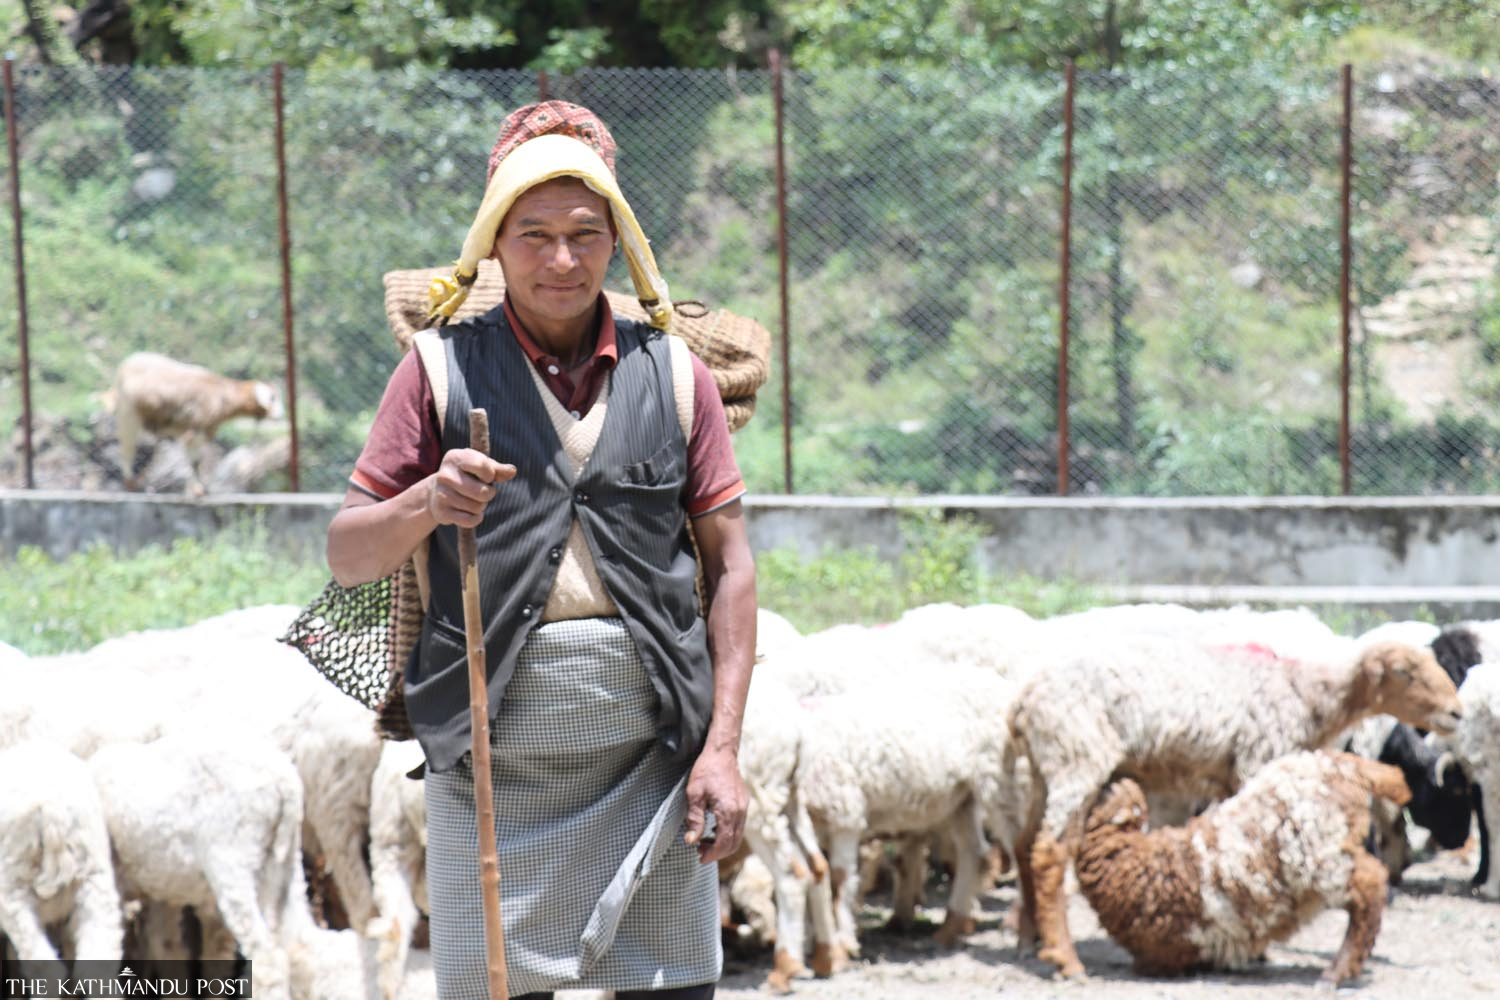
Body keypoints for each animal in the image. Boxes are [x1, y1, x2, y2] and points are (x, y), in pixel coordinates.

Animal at [105, 351, 282, 494]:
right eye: (273, 398)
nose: (280, 415)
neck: (221, 393)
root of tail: (125, 365)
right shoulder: (196, 428)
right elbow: (195, 461)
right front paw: (197, 490)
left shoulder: (194, 429)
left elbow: (195, 460)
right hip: (128, 412)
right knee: (127, 447)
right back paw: (130, 482)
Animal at [1076, 750, 1410, 987]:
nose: (1109, 778)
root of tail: (1341, 767)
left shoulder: (1161, 953)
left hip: (1322, 854)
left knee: (1370, 886)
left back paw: (1336, 973)